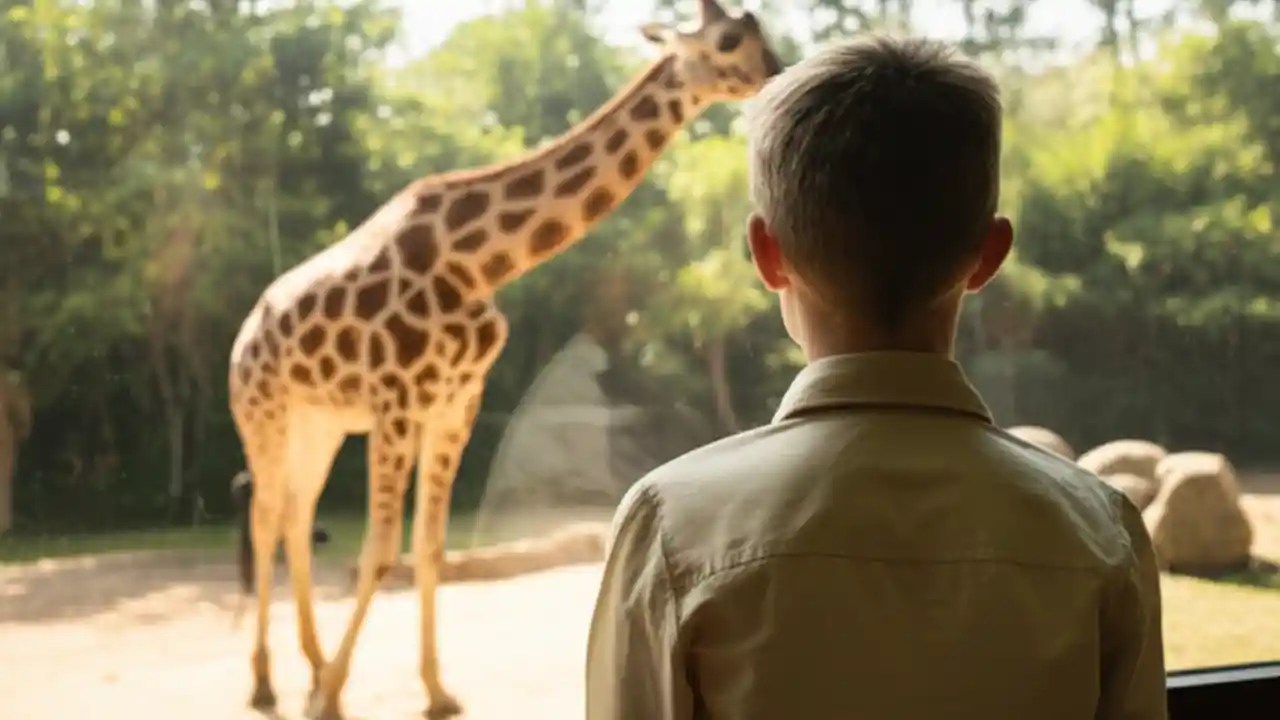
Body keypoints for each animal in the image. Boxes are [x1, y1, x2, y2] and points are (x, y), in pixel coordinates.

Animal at [226, 1, 782, 718]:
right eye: (729, 39)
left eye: (761, 30)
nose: (778, 72)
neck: (479, 262)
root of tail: (244, 336)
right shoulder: (396, 401)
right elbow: (381, 547)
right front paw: (328, 699)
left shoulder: (455, 404)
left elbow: (430, 548)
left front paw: (433, 690)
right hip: (263, 415)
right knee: (267, 518)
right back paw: (268, 680)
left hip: (319, 424)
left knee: (296, 518)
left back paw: (315, 667)